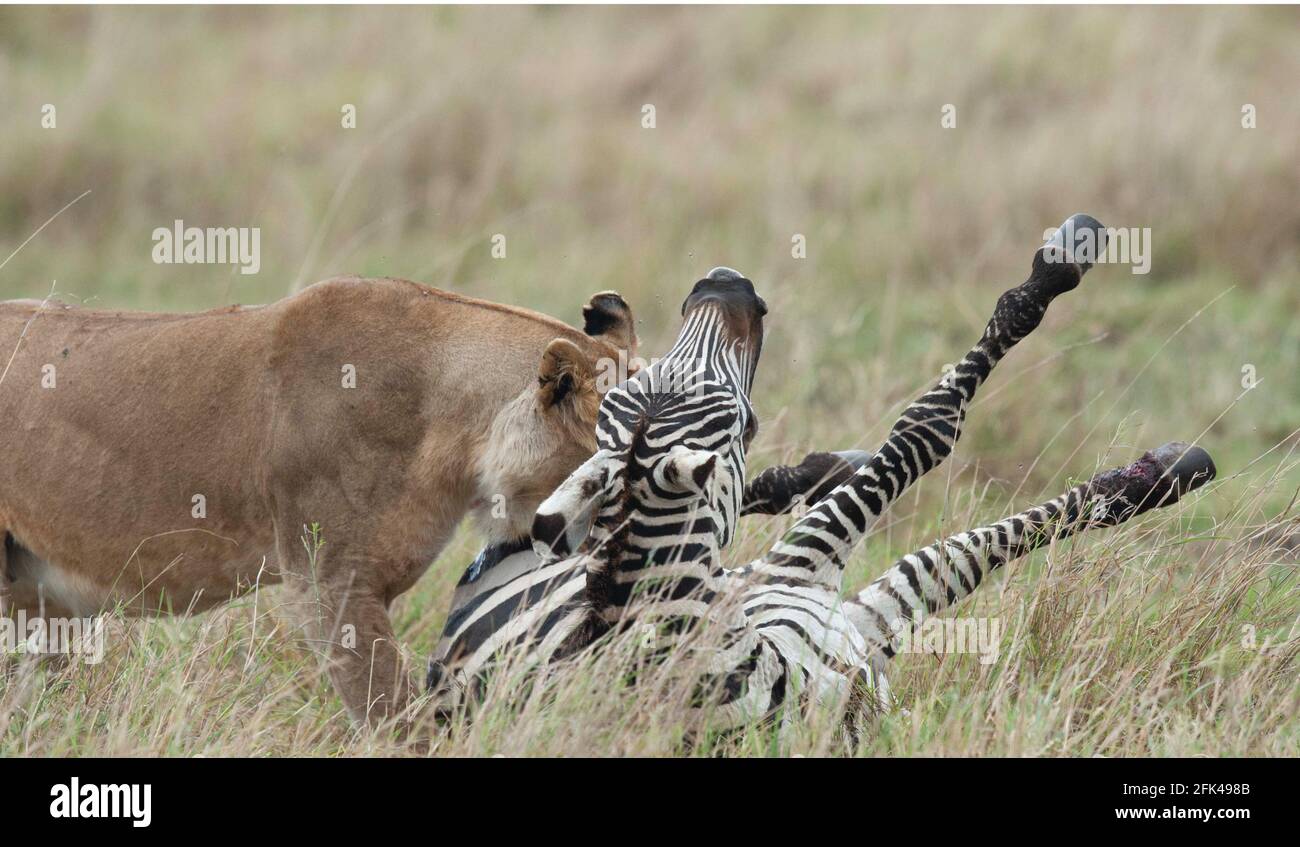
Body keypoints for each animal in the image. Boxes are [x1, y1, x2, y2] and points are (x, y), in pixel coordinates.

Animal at [429, 215, 1216, 730]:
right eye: (743, 424)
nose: (722, 281)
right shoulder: (832, 588)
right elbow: (931, 439)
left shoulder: (841, 614)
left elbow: (964, 536)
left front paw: (1154, 477)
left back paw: (820, 465)